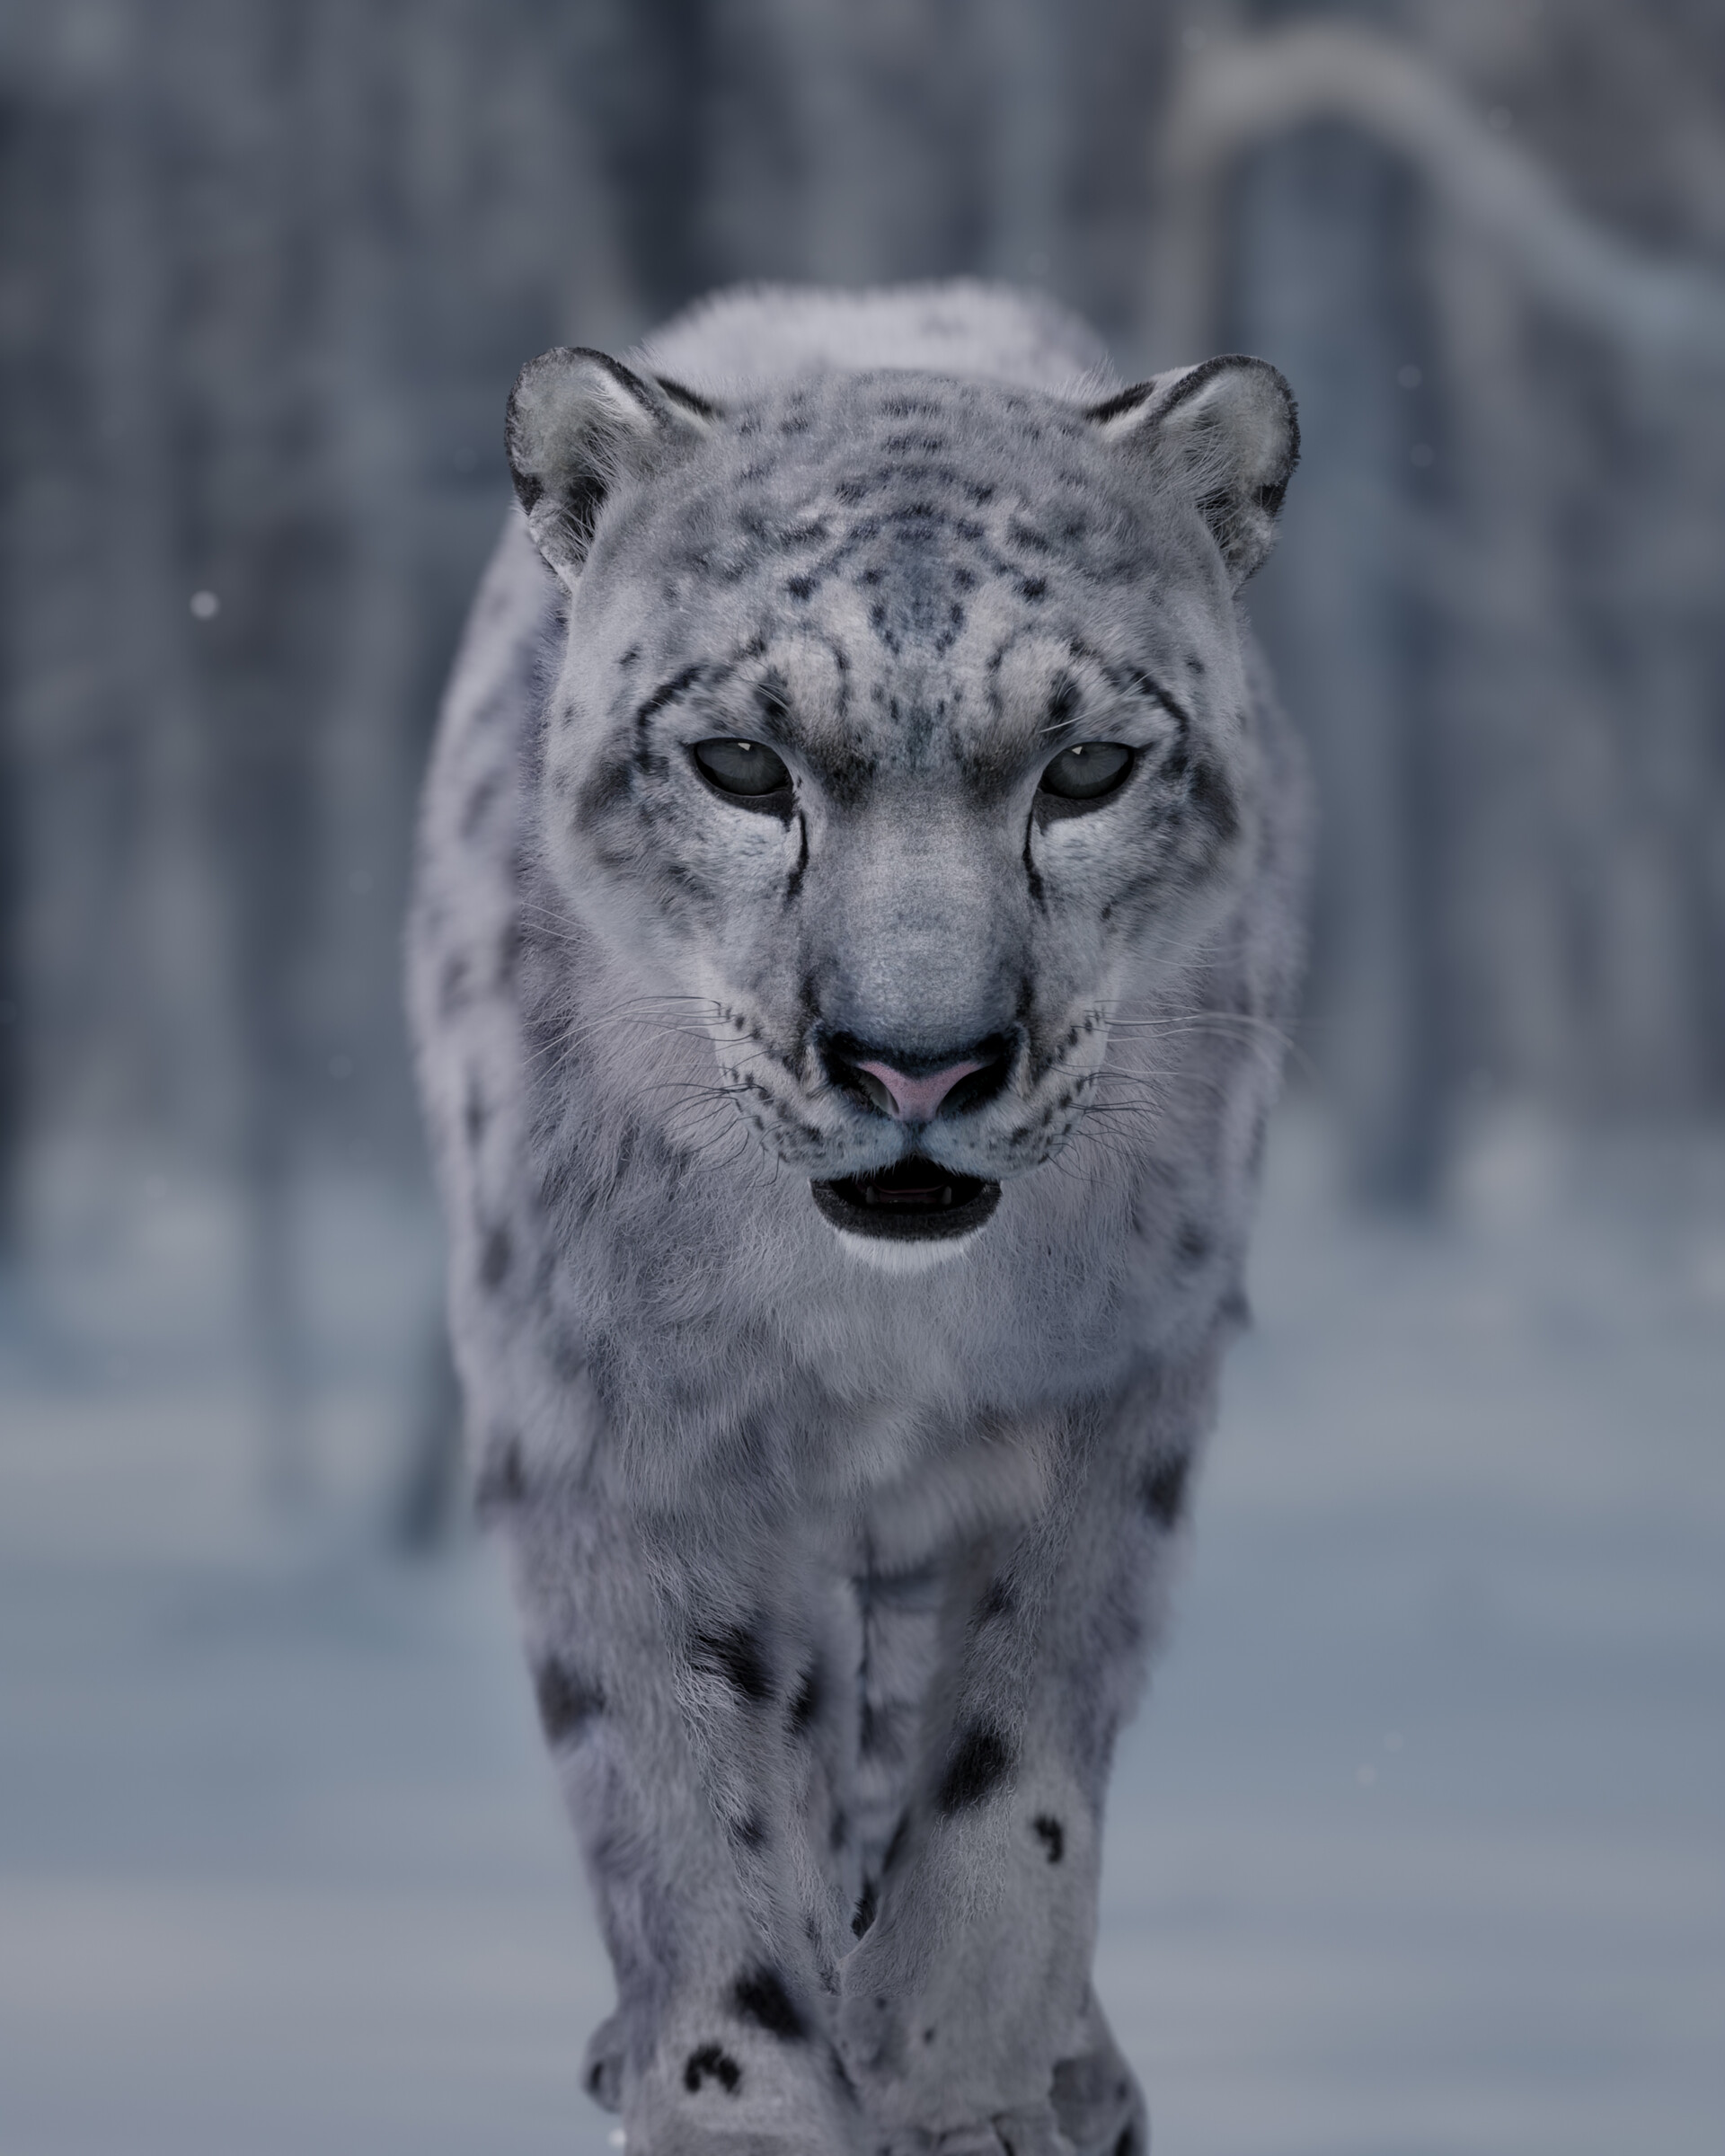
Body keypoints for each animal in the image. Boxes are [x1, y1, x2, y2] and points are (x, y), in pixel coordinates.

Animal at [407, 281, 1307, 2156]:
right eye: (741, 763)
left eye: (1087, 764)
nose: (917, 1061)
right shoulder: (611, 1418)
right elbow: (684, 1778)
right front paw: (739, 2097)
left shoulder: (1117, 1388)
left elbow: (1015, 1753)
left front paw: (952, 2064)